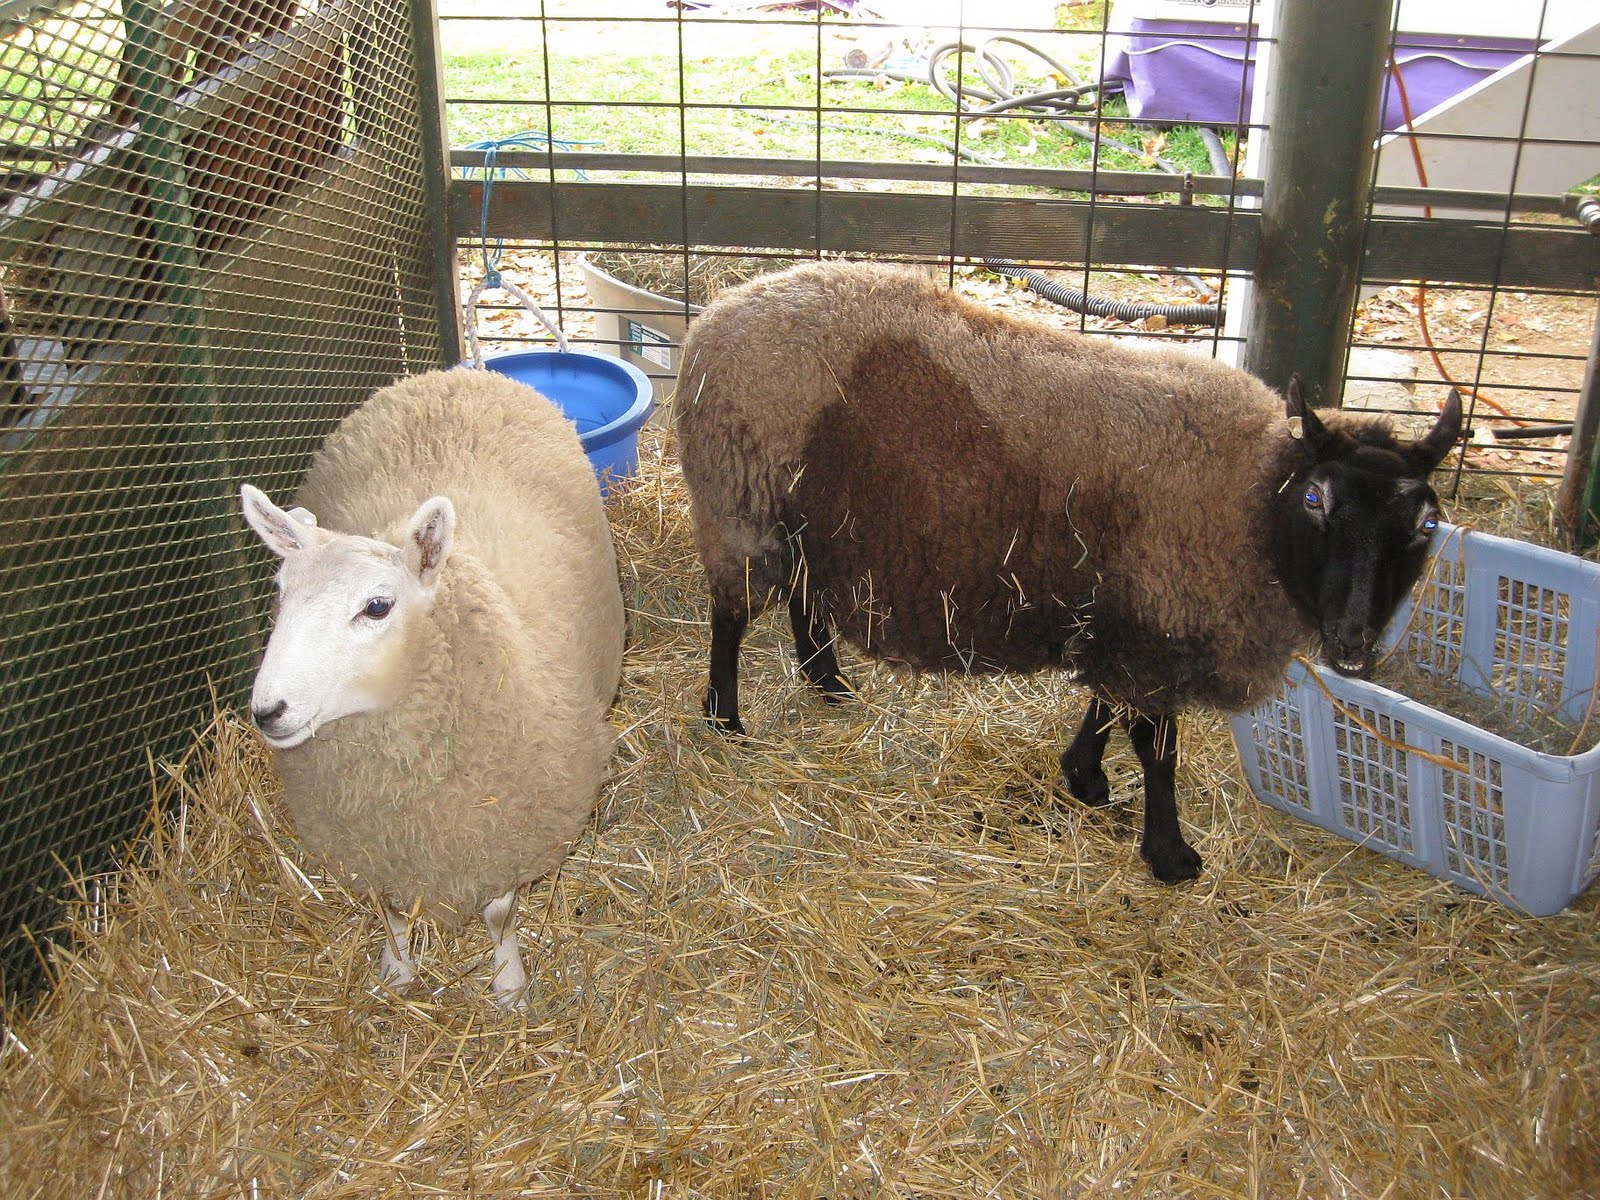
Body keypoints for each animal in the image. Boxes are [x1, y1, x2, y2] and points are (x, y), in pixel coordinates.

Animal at [239, 368, 624, 1005]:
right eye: (280, 590)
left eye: (377, 606)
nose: (268, 711)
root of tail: (455, 372)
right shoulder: (376, 848)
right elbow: (390, 911)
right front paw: (396, 969)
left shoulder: (502, 828)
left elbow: (499, 916)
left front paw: (508, 986)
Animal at [674, 261, 1461, 884]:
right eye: (1315, 499)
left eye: (1427, 524)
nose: (1354, 642)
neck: (1253, 498)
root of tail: (720, 312)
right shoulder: (1155, 622)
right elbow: (1158, 749)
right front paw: (1169, 853)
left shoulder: (1123, 616)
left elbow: (1107, 705)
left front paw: (1084, 773)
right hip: (738, 504)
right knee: (731, 617)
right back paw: (725, 716)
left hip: (804, 518)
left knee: (803, 595)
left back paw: (828, 681)